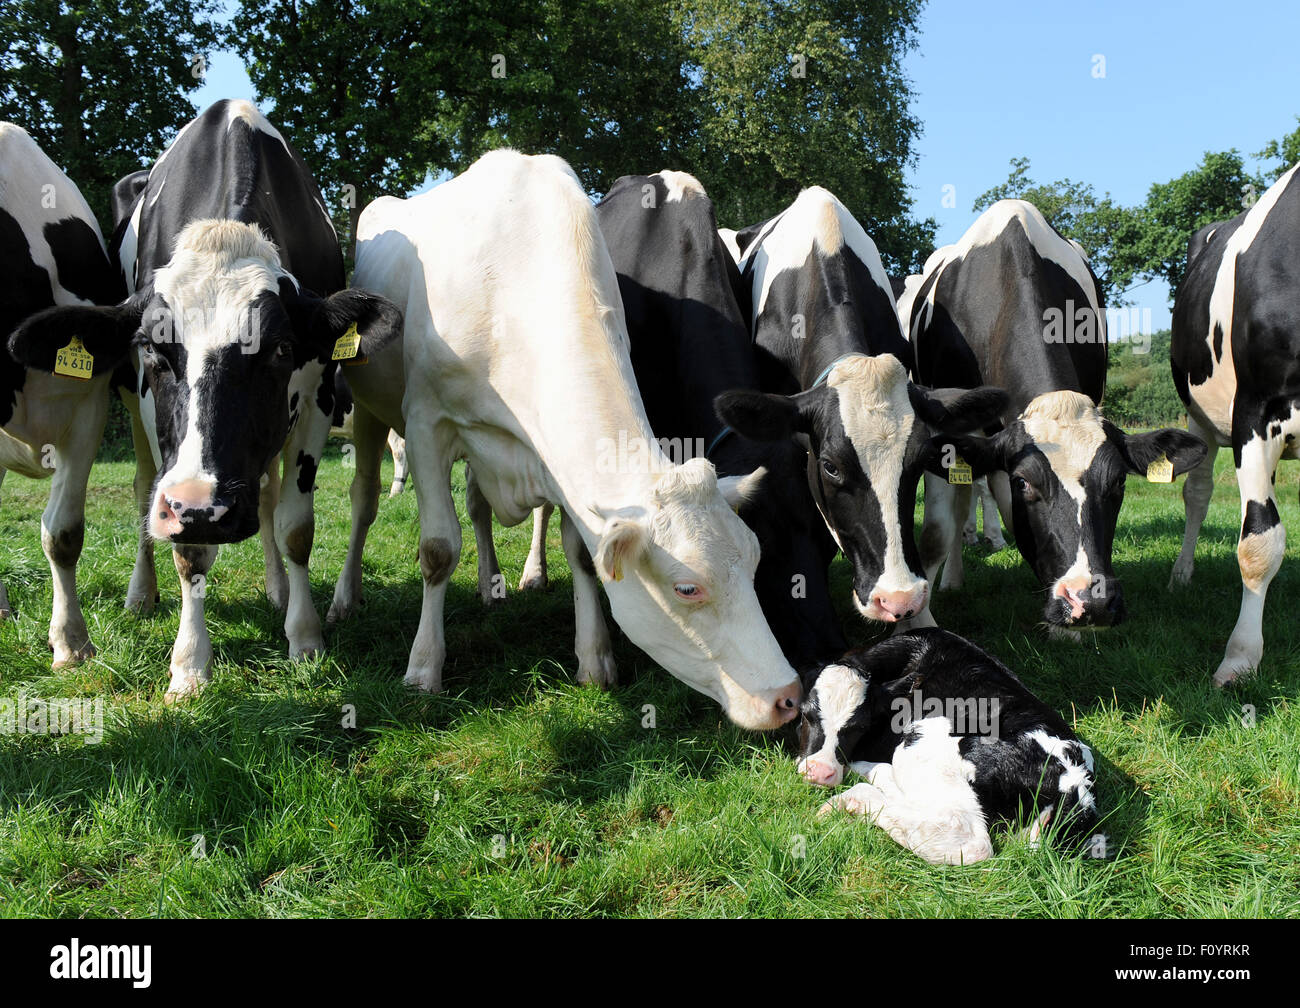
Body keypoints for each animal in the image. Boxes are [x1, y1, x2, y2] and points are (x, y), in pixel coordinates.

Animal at [9, 100, 403, 698]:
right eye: (151, 348)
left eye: (281, 348)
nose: (202, 507)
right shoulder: (153, 418)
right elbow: (187, 549)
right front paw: (190, 665)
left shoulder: (317, 393)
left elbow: (295, 528)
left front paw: (305, 636)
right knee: (143, 490)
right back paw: (140, 596)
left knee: (266, 500)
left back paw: (277, 590)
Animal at [333, 150, 802, 730]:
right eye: (687, 587)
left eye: (756, 560)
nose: (788, 695)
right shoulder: (425, 425)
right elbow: (438, 549)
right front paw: (424, 667)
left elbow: (581, 550)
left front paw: (594, 657)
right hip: (368, 410)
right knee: (364, 501)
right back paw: (344, 598)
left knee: (480, 508)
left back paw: (493, 583)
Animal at [801, 628, 1099, 865]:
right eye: (806, 714)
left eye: (861, 726)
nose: (819, 771)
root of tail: (1073, 782)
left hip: (927, 746)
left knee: (970, 840)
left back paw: (850, 794)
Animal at [898, 200, 1205, 631]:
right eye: (1023, 483)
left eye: (1119, 483)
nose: (1092, 602)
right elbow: (936, 534)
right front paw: (916, 625)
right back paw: (954, 578)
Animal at [1169, 164, 1300, 685]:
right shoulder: (1256, 410)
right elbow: (1258, 542)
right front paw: (1241, 657)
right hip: (1199, 417)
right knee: (1198, 493)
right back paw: (1181, 574)